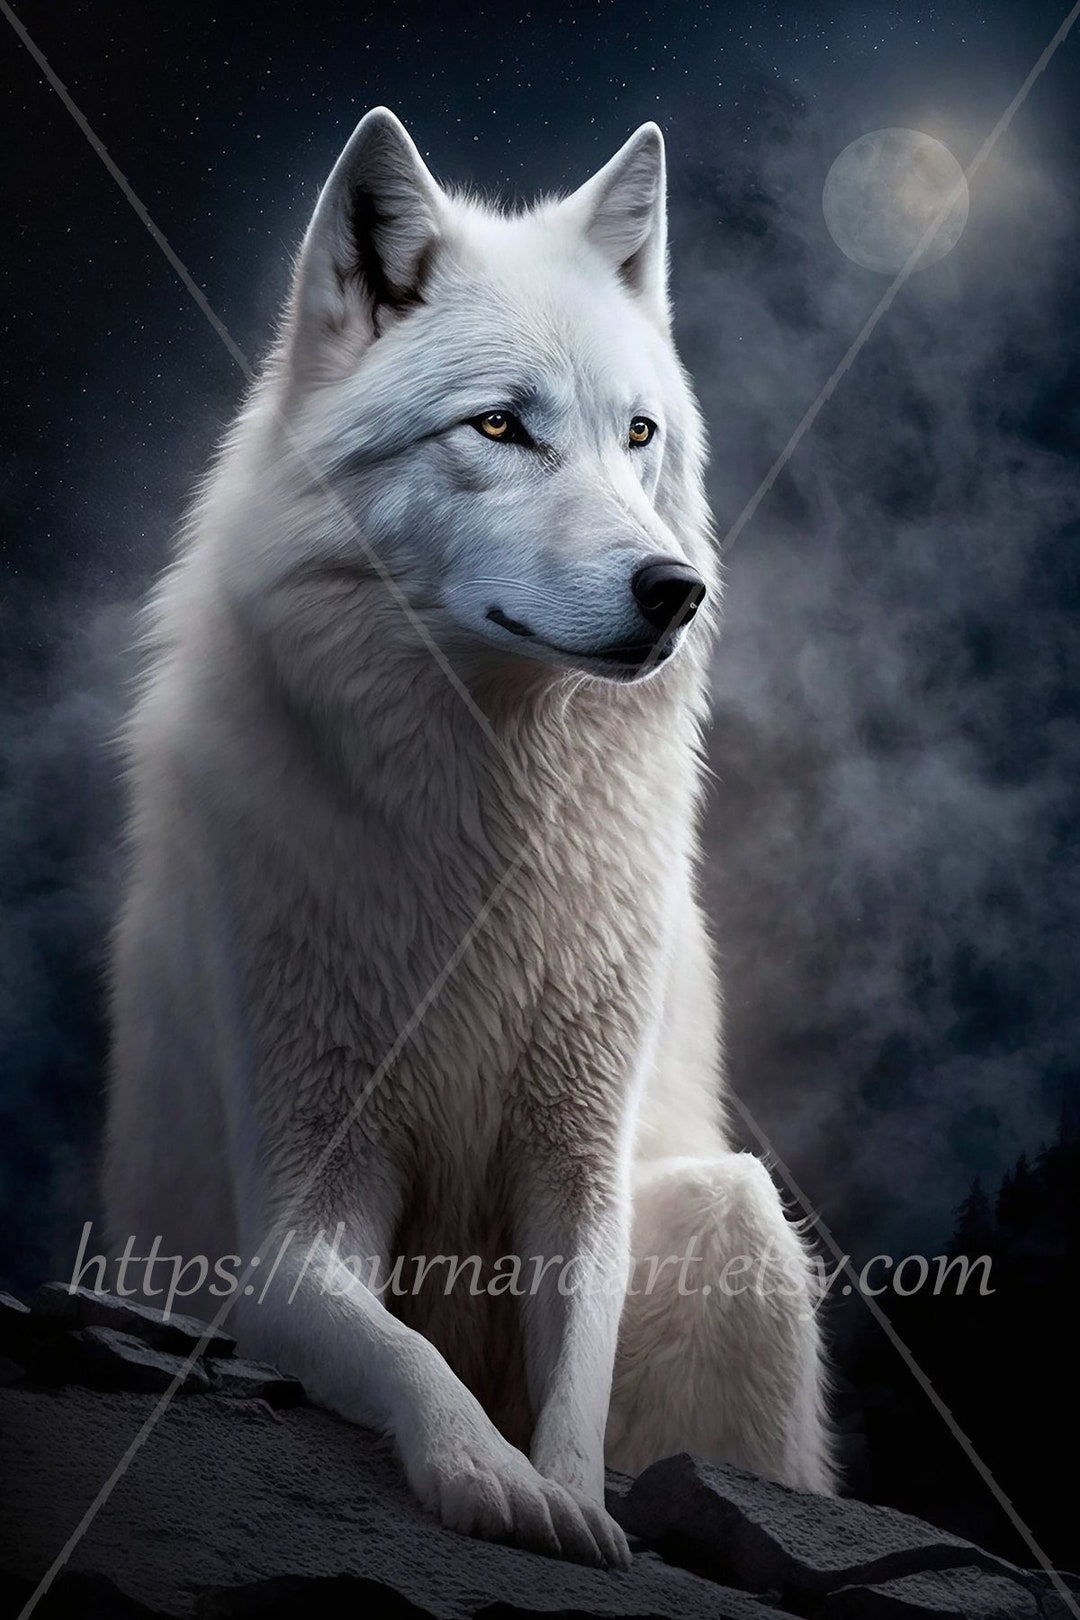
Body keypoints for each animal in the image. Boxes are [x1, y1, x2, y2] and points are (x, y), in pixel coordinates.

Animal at [103, 107, 833, 1567]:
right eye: (499, 426)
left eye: (638, 434)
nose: (676, 590)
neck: (487, 825)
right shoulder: (287, 1229)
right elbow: (409, 1356)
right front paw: (484, 1477)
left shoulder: (581, 1175)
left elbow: (576, 1380)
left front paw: (571, 1498)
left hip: (739, 1219)